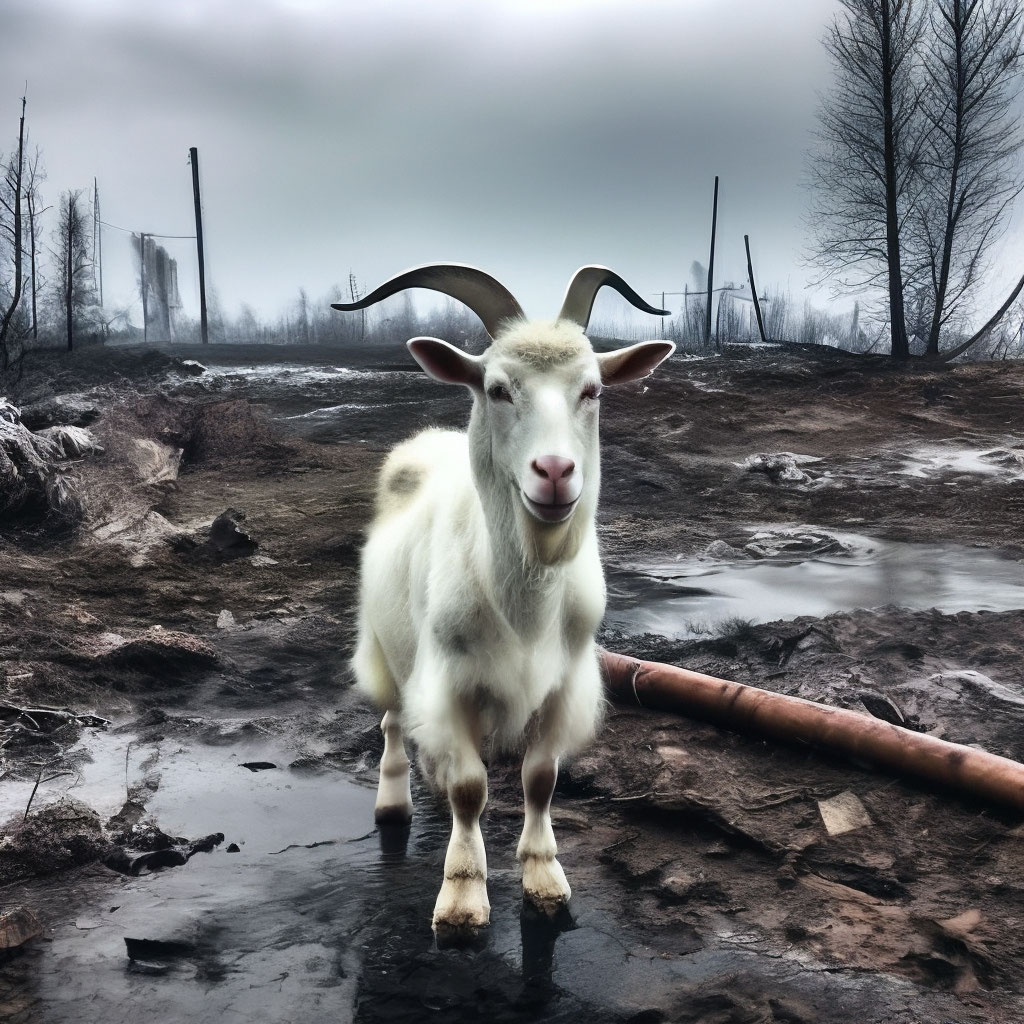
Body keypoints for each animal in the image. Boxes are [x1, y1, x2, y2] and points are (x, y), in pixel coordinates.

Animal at [333, 264, 674, 937]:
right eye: (496, 388)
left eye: (593, 390)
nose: (555, 472)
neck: (524, 603)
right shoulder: (451, 679)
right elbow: (470, 789)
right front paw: (463, 894)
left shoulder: (564, 682)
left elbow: (539, 779)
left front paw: (545, 878)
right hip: (386, 649)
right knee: (391, 719)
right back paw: (393, 802)